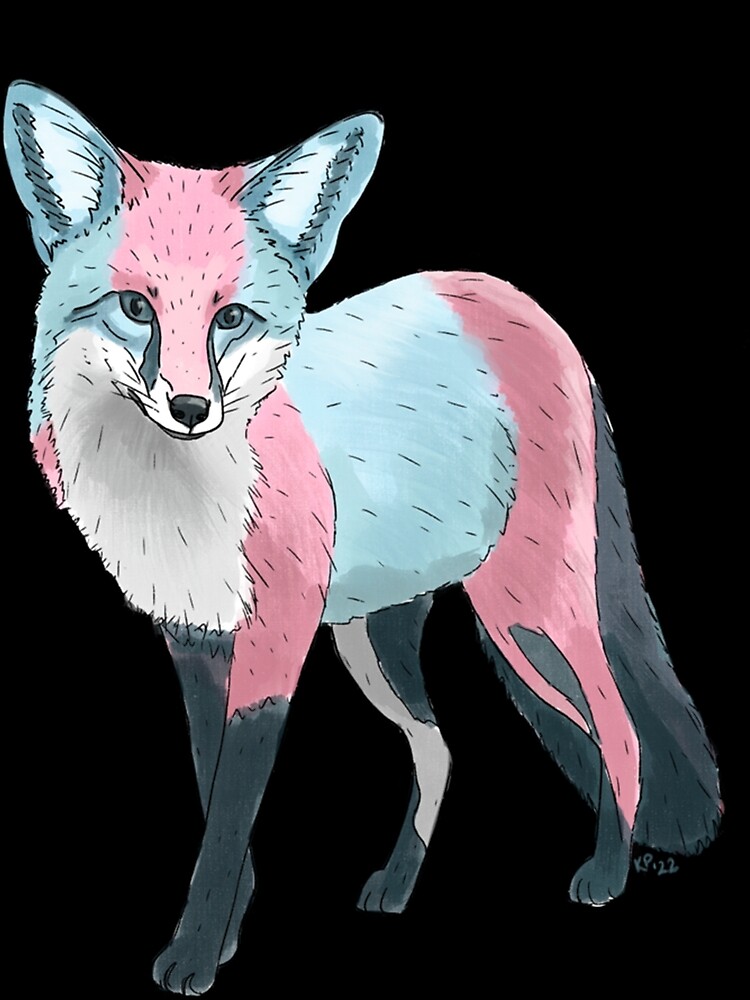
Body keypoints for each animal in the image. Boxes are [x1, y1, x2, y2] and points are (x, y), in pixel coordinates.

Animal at [5, 81, 721, 995]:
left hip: (526, 613)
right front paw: (227, 933)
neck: (167, 495)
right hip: (375, 642)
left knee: (617, 727)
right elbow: (214, 796)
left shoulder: (273, 643)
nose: (192, 409)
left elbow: (230, 813)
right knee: (444, 746)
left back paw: (606, 874)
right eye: (136, 309)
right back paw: (402, 886)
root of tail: (523, 306)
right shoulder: (196, 642)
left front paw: (196, 955)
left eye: (231, 319)